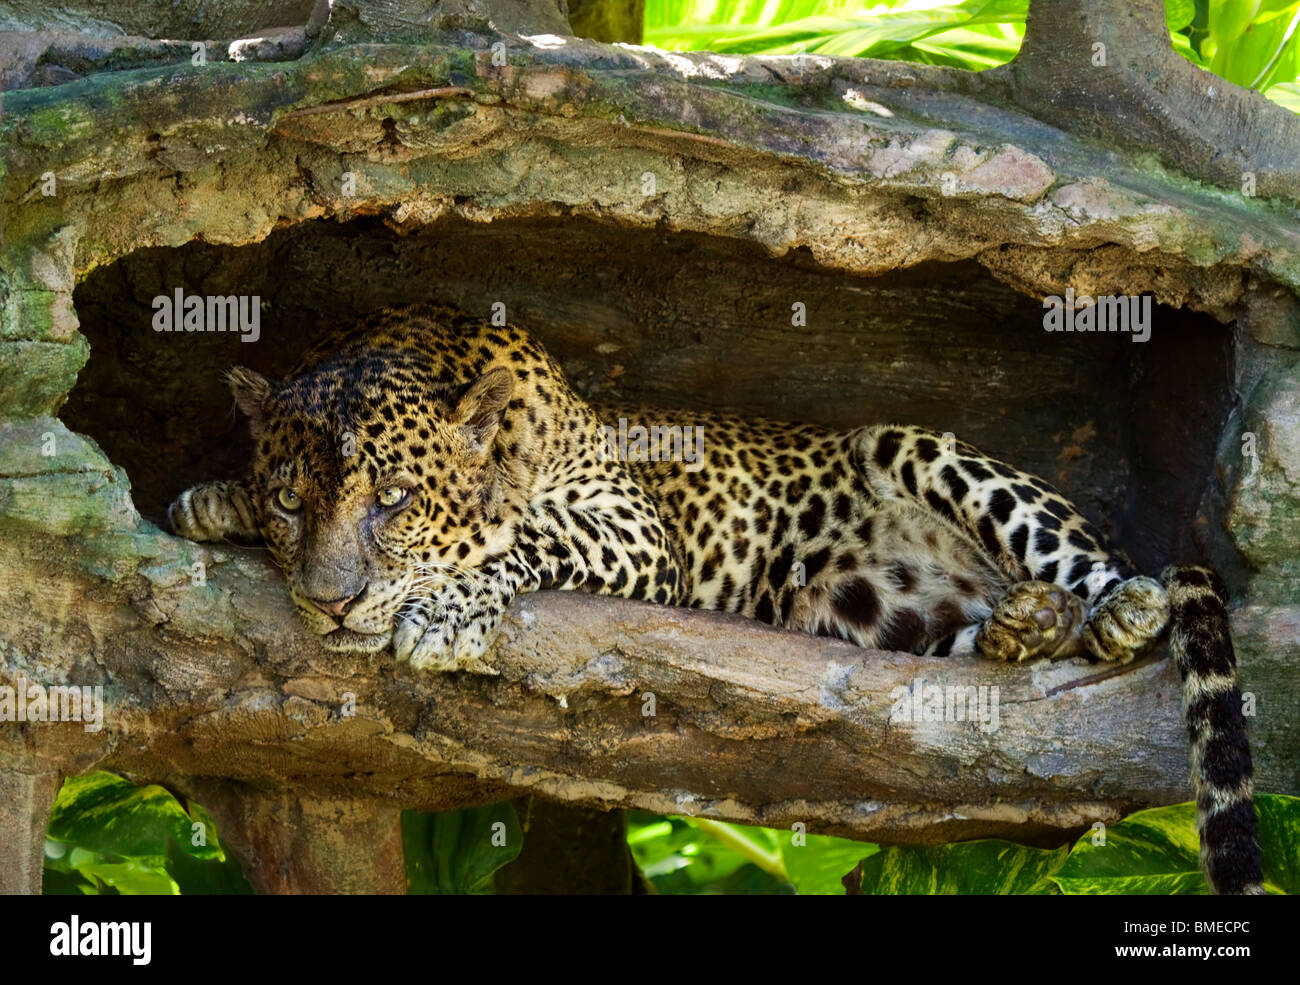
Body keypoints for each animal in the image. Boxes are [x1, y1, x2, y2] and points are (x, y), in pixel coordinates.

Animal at [169, 303, 1263, 895]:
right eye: (290, 499)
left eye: (394, 497)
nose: (332, 604)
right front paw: (210, 501)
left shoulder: (632, 526)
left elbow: (520, 534)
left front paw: (447, 604)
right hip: (865, 621)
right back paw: (1025, 624)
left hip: (920, 446)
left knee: (1121, 590)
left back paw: (1106, 609)